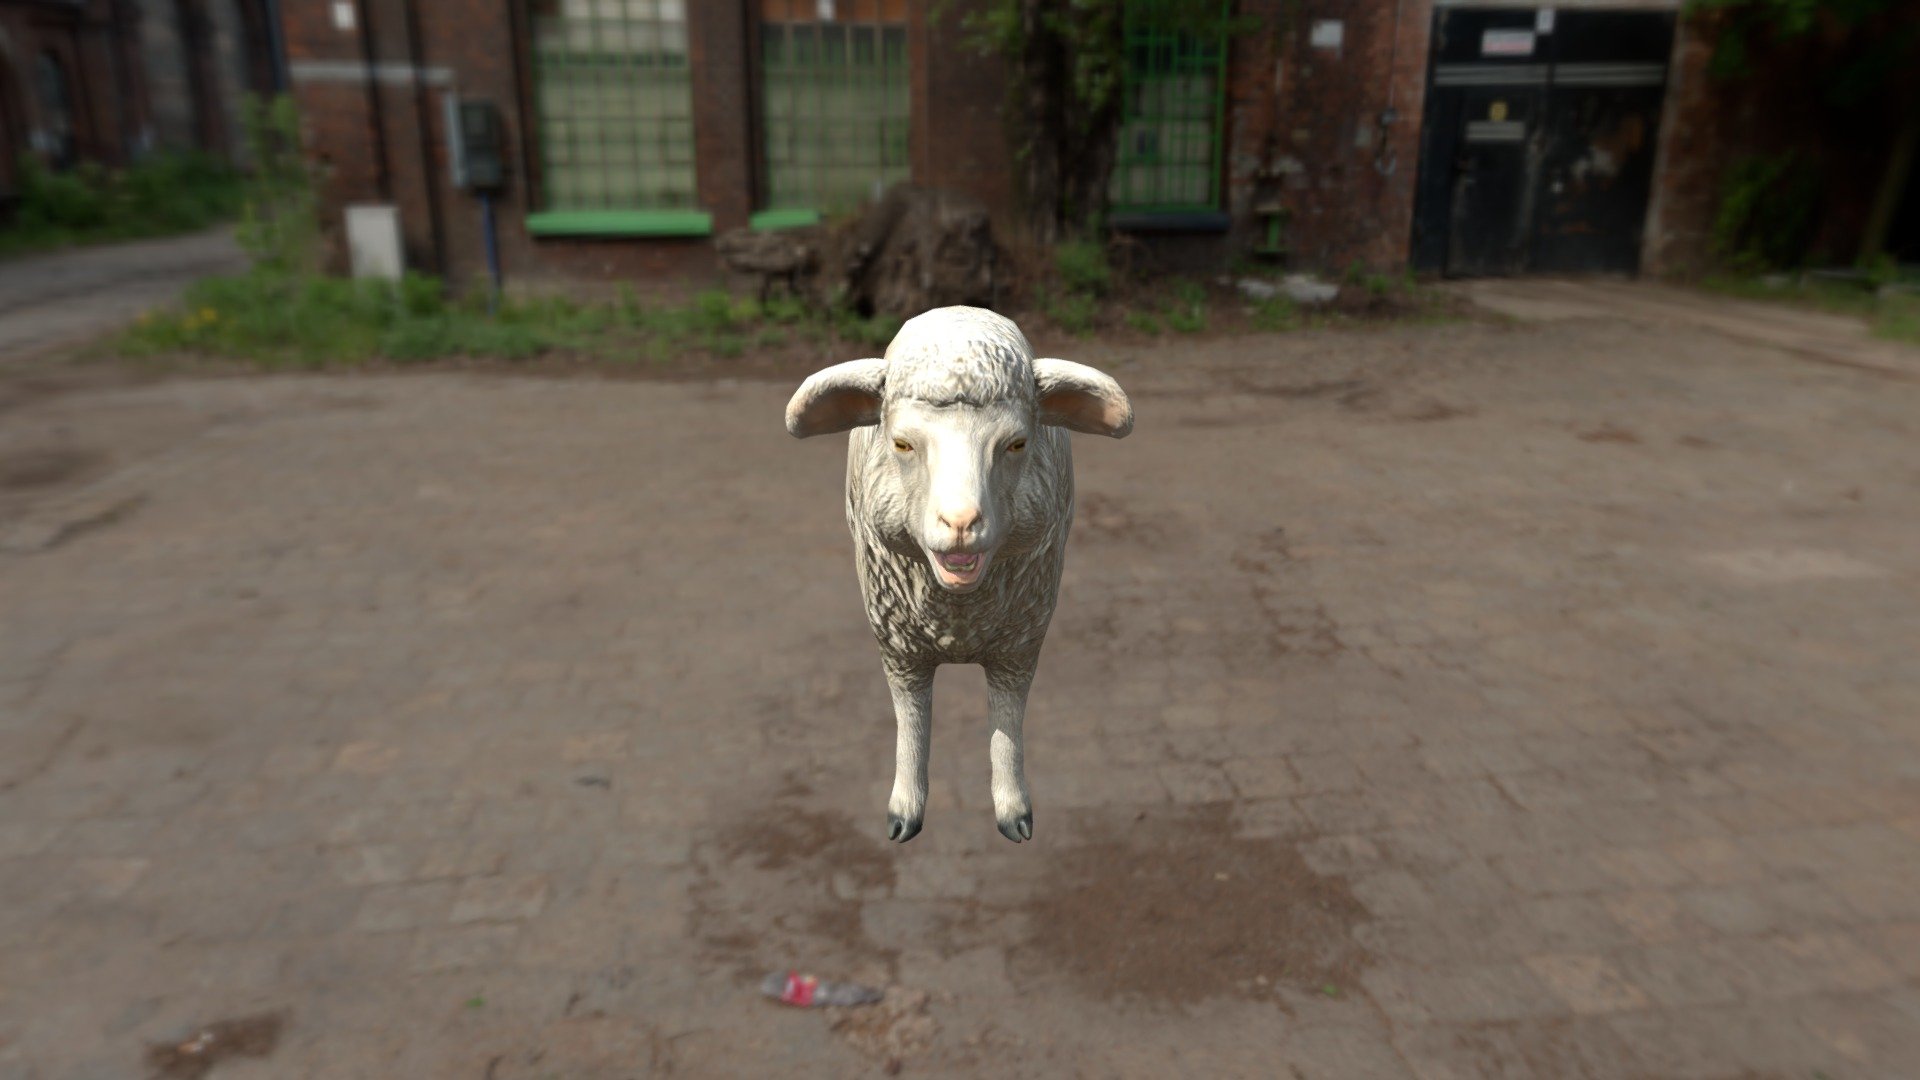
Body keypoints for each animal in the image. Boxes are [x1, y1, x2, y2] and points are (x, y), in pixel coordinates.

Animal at [785, 306, 1132, 843]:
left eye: (1017, 443)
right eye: (902, 443)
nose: (961, 522)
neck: (959, 618)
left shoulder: (1021, 643)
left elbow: (1007, 720)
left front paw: (1014, 812)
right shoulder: (898, 647)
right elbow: (912, 718)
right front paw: (903, 811)